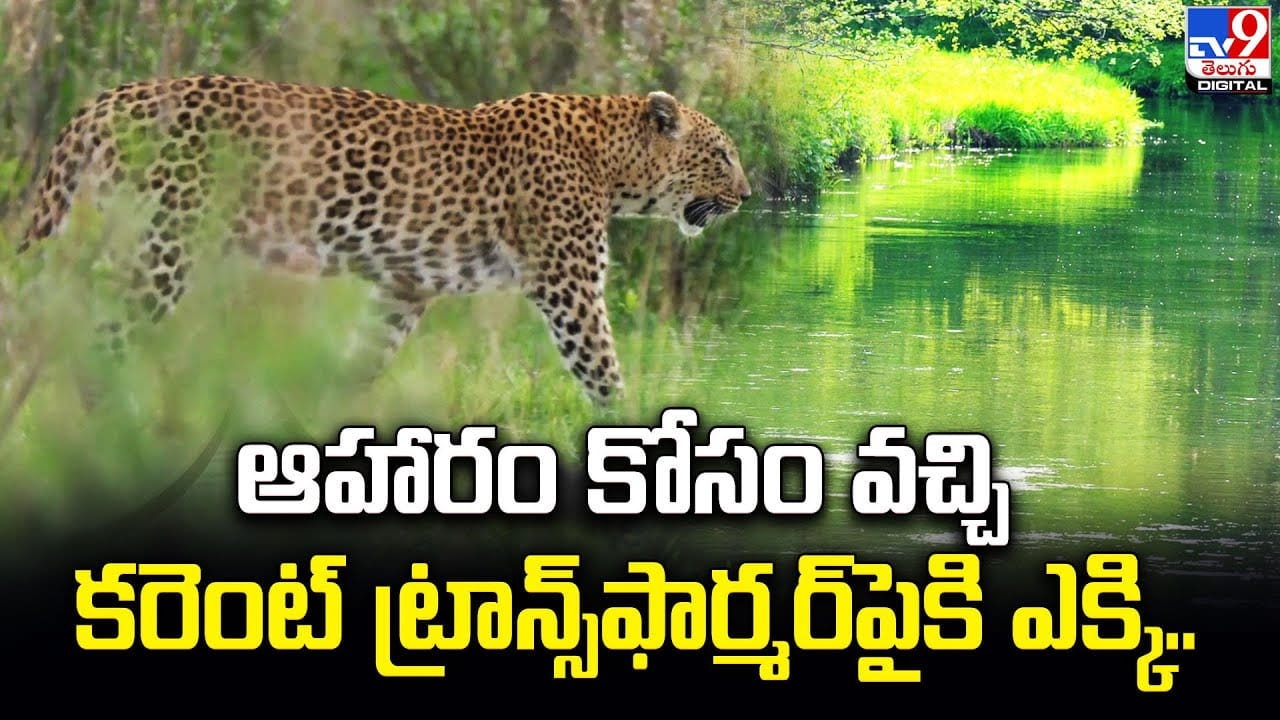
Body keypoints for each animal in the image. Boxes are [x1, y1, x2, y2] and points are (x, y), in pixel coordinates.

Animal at [18, 74, 752, 405]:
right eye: (722, 155)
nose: (748, 195)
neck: (612, 162)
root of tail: (109, 99)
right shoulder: (568, 284)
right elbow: (602, 370)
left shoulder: (404, 288)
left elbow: (362, 359)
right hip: (159, 249)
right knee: (95, 340)